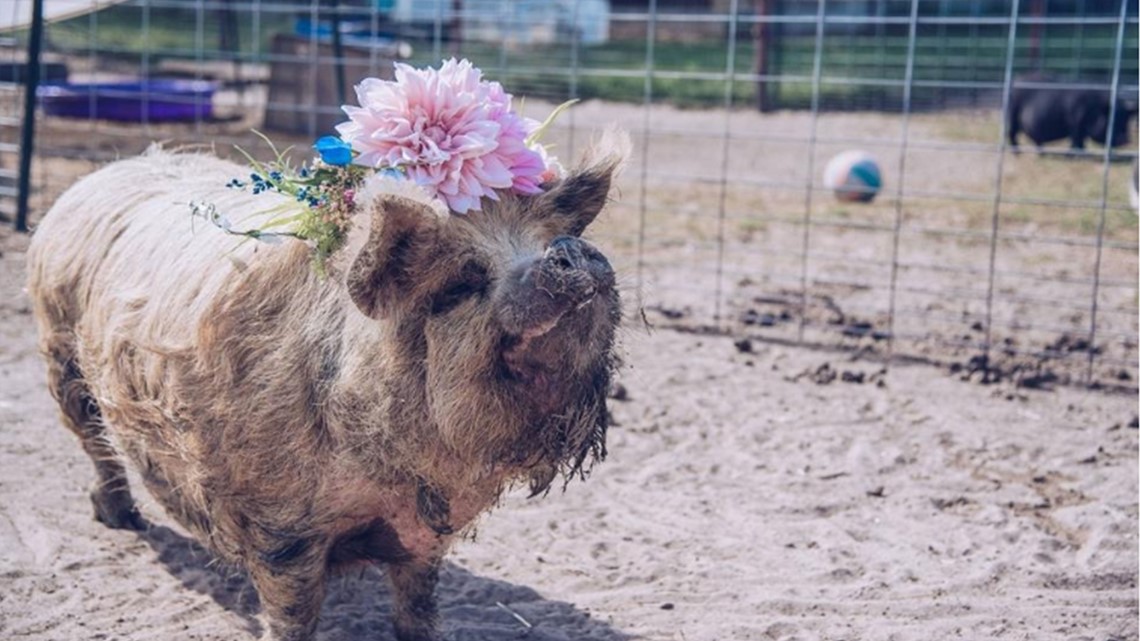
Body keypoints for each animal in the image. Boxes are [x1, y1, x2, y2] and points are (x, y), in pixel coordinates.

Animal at [26, 133, 627, 641]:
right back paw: (118, 519)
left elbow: (419, 594)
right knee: (97, 444)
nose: (568, 252)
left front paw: (424, 632)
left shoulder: (427, 529)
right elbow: (293, 610)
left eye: (547, 238)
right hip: (59, 351)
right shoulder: (278, 523)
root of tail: (104, 173)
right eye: (462, 281)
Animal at [1007, 76, 1137, 152]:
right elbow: (1077, 141)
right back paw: (1017, 153)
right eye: (1112, 121)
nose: (1126, 140)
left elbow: (1079, 141)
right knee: (1011, 134)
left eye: (1126, 120)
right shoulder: (1075, 123)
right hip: (1012, 116)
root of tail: (1014, 82)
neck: (1093, 109)